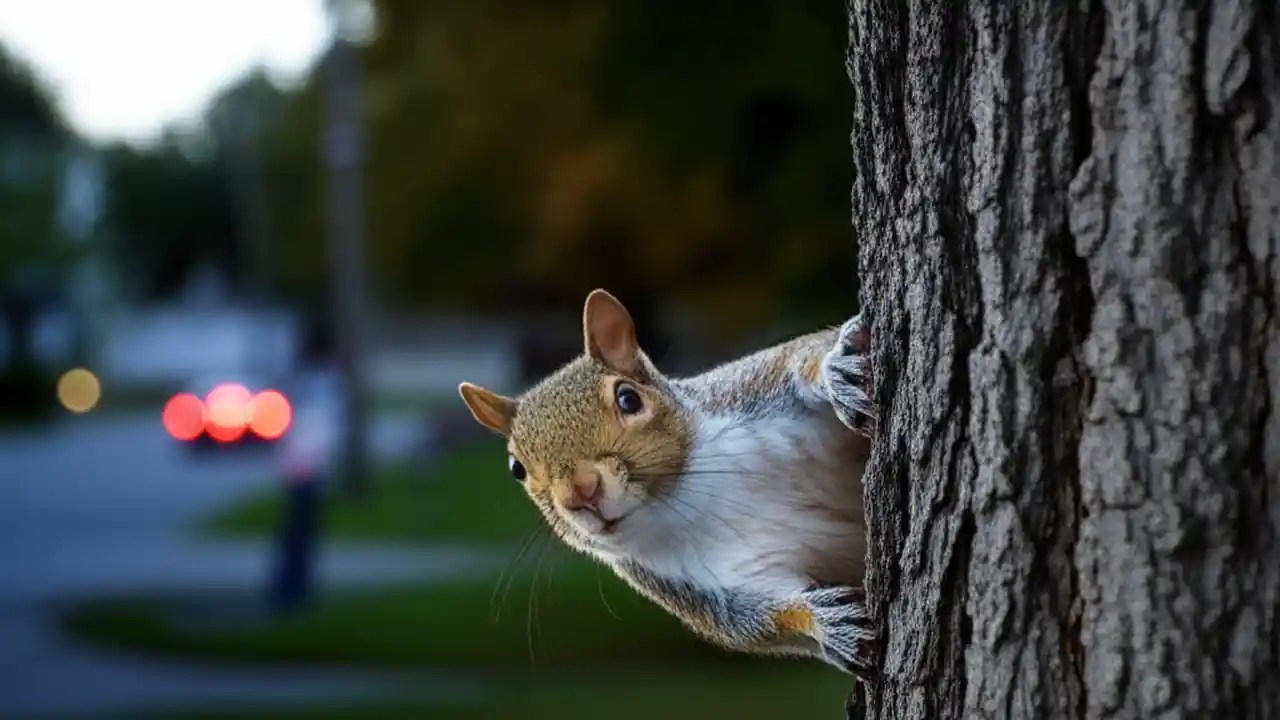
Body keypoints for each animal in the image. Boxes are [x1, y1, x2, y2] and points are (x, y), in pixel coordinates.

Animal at [457, 289, 877, 680]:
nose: (580, 492)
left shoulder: (747, 390)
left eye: (628, 399)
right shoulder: (698, 585)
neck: (685, 498)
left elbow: (799, 358)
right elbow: (756, 622)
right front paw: (829, 627)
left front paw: (836, 373)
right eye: (517, 468)